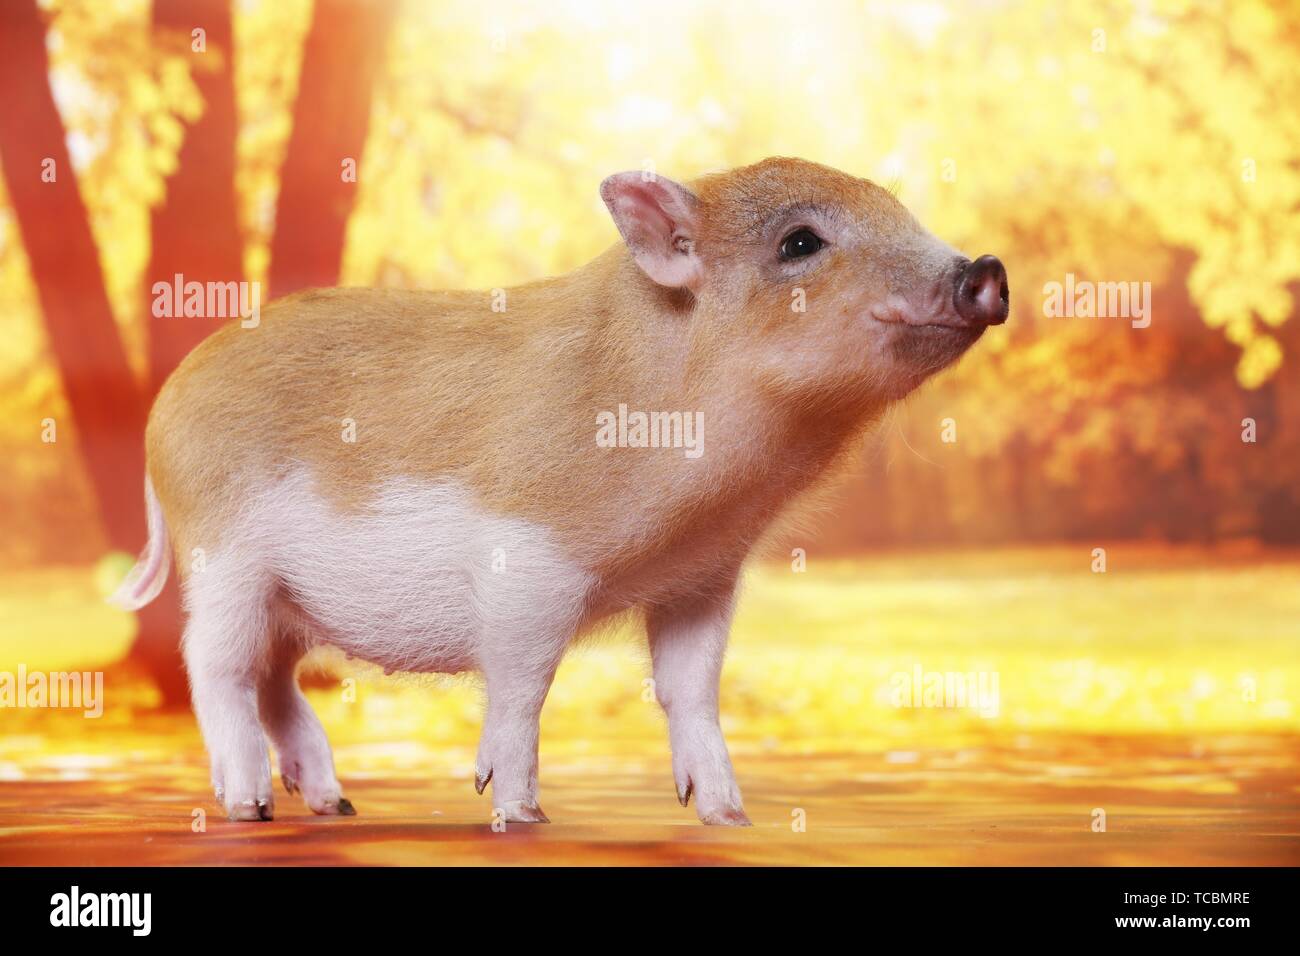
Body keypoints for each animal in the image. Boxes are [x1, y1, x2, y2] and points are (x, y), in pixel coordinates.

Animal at [110, 157, 1008, 825]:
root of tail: (164, 408)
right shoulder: (528, 561)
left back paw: (337, 805)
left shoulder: (702, 577)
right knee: (212, 664)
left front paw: (726, 815)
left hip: (287, 598)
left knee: (274, 679)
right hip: (225, 559)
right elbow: (523, 683)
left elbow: (691, 689)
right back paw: (250, 806)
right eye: (799, 242)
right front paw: (519, 814)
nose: (986, 271)